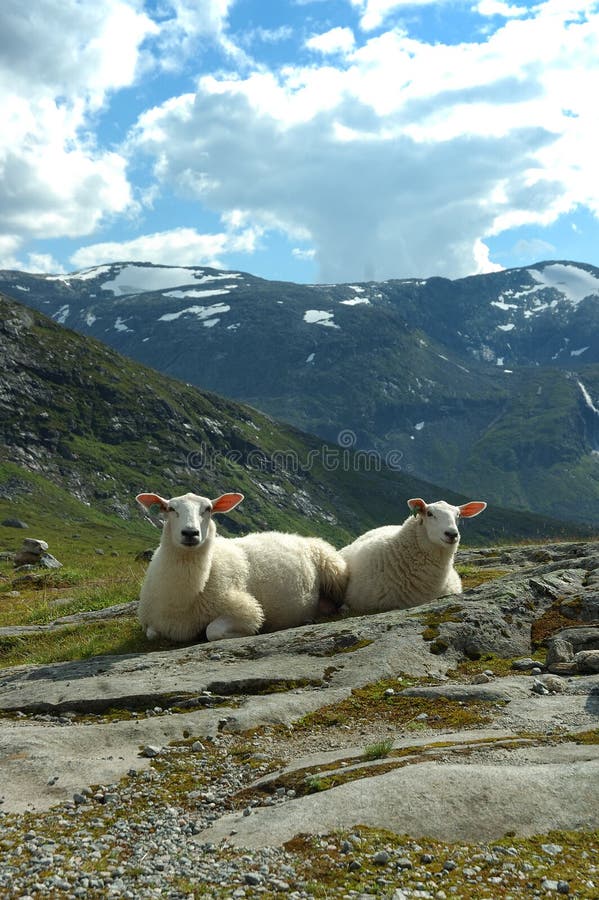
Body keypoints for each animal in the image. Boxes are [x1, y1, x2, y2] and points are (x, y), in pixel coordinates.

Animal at [135, 490, 348, 642]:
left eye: (208, 508)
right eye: (170, 509)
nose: (190, 533)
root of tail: (298, 536)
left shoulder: (245, 609)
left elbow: (212, 631)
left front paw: (251, 632)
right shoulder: (151, 622)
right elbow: (152, 634)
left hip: (334, 572)